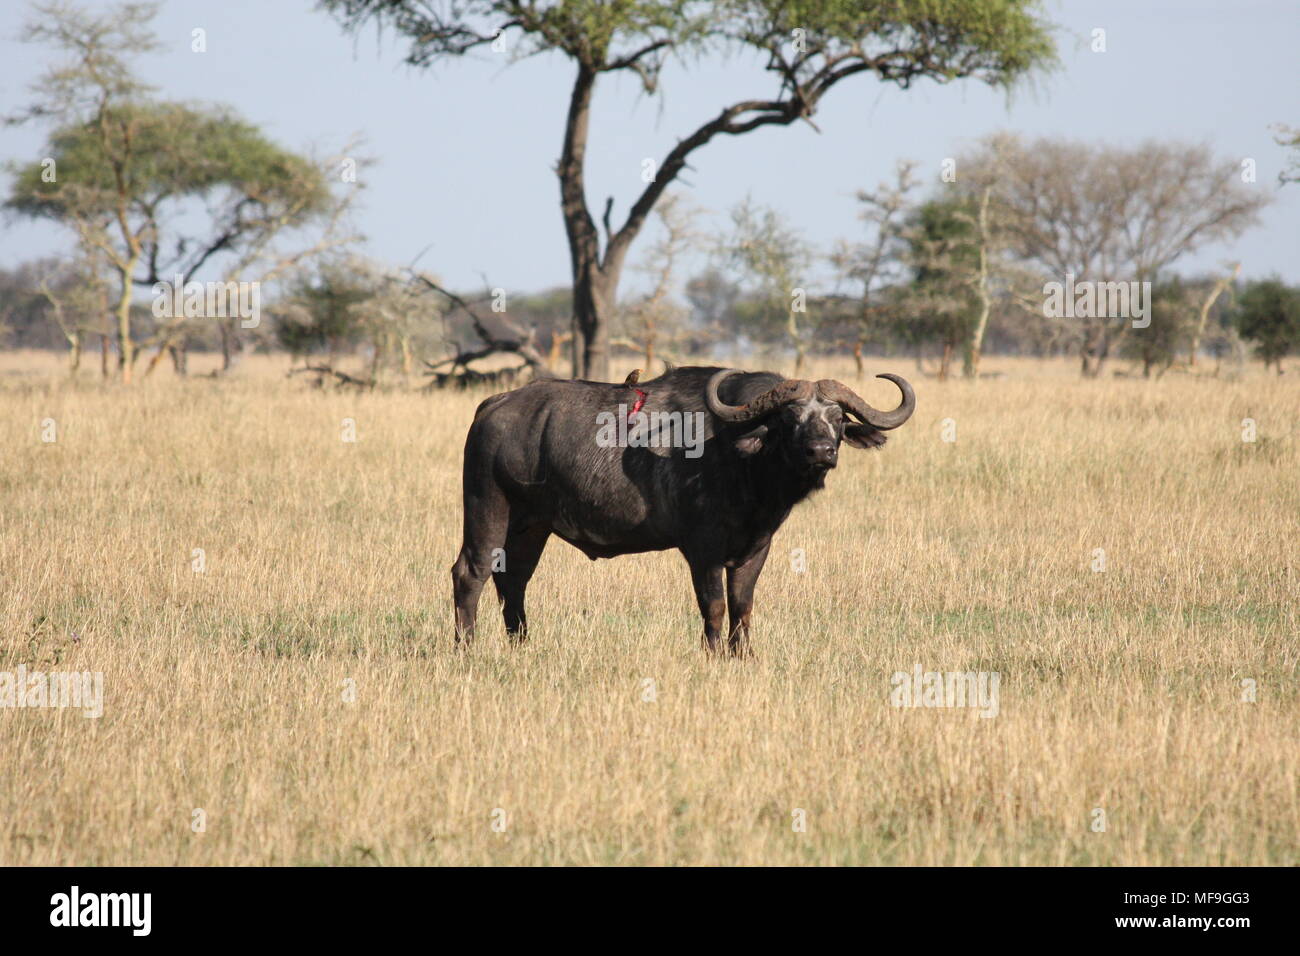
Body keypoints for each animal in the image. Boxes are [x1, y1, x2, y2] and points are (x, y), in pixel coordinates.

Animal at [452, 365, 915, 654]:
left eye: (837, 418)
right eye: (789, 419)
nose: (821, 451)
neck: (741, 460)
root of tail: (494, 405)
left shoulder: (757, 547)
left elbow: (742, 605)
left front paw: (742, 656)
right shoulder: (702, 549)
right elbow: (714, 605)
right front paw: (712, 655)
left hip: (532, 527)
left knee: (514, 580)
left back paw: (522, 645)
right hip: (487, 510)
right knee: (470, 573)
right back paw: (466, 648)